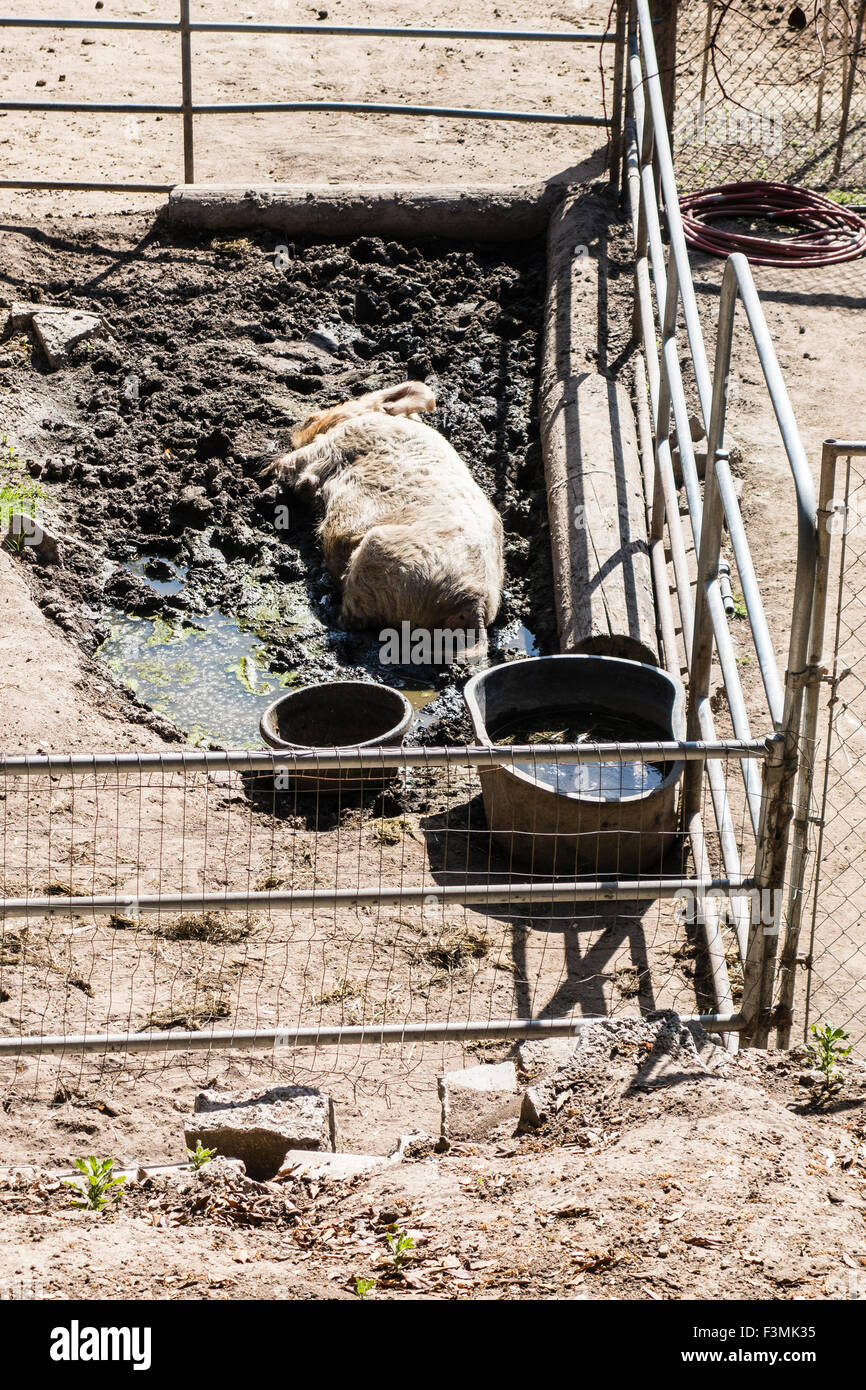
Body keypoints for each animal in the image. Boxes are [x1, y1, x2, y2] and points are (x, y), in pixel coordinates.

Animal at [268, 382, 504, 643]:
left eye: (350, 403)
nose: (306, 421)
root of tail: (474, 604)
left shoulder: (328, 447)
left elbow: (286, 465)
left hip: (378, 550)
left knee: (352, 618)